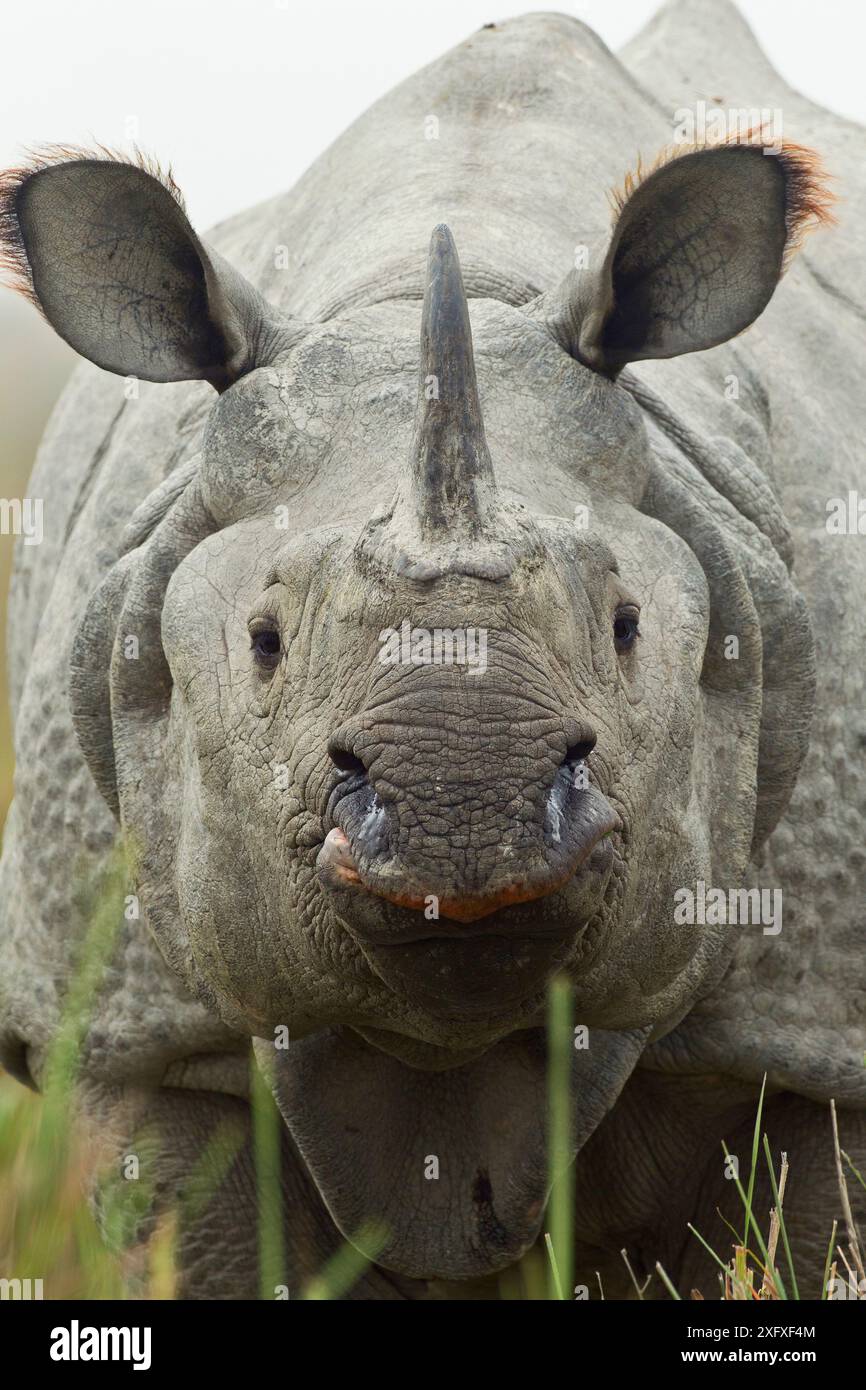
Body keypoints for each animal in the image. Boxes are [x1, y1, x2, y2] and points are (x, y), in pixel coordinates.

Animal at [1, 1, 864, 1299]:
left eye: (626, 626)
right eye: (262, 641)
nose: (465, 810)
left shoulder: (818, 1025)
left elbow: (813, 1226)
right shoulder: (133, 1022)